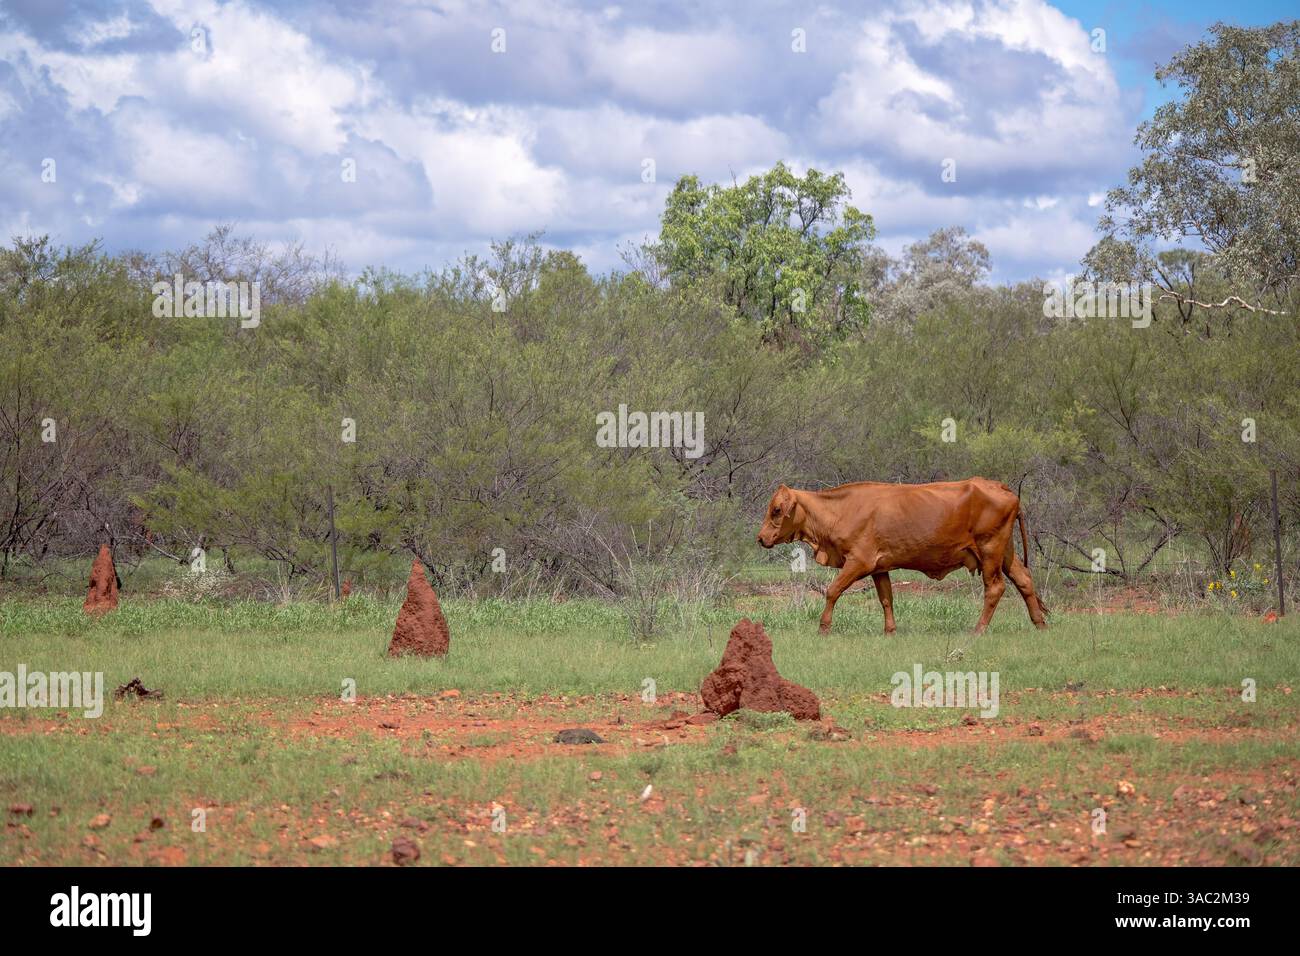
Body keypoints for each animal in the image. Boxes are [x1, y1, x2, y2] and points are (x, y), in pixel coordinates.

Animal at [756, 477, 1048, 635]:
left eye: (777, 509)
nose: (760, 538)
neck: (842, 510)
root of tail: (1000, 486)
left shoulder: (858, 562)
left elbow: (832, 591)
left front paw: (823, 628)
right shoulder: (879, 568)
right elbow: (887, 599)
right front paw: (890, 631)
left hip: (990, 551)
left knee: (995, 588)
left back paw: (978, 630)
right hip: (1005, 553)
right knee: (1024, 580)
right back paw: (1040, 624)